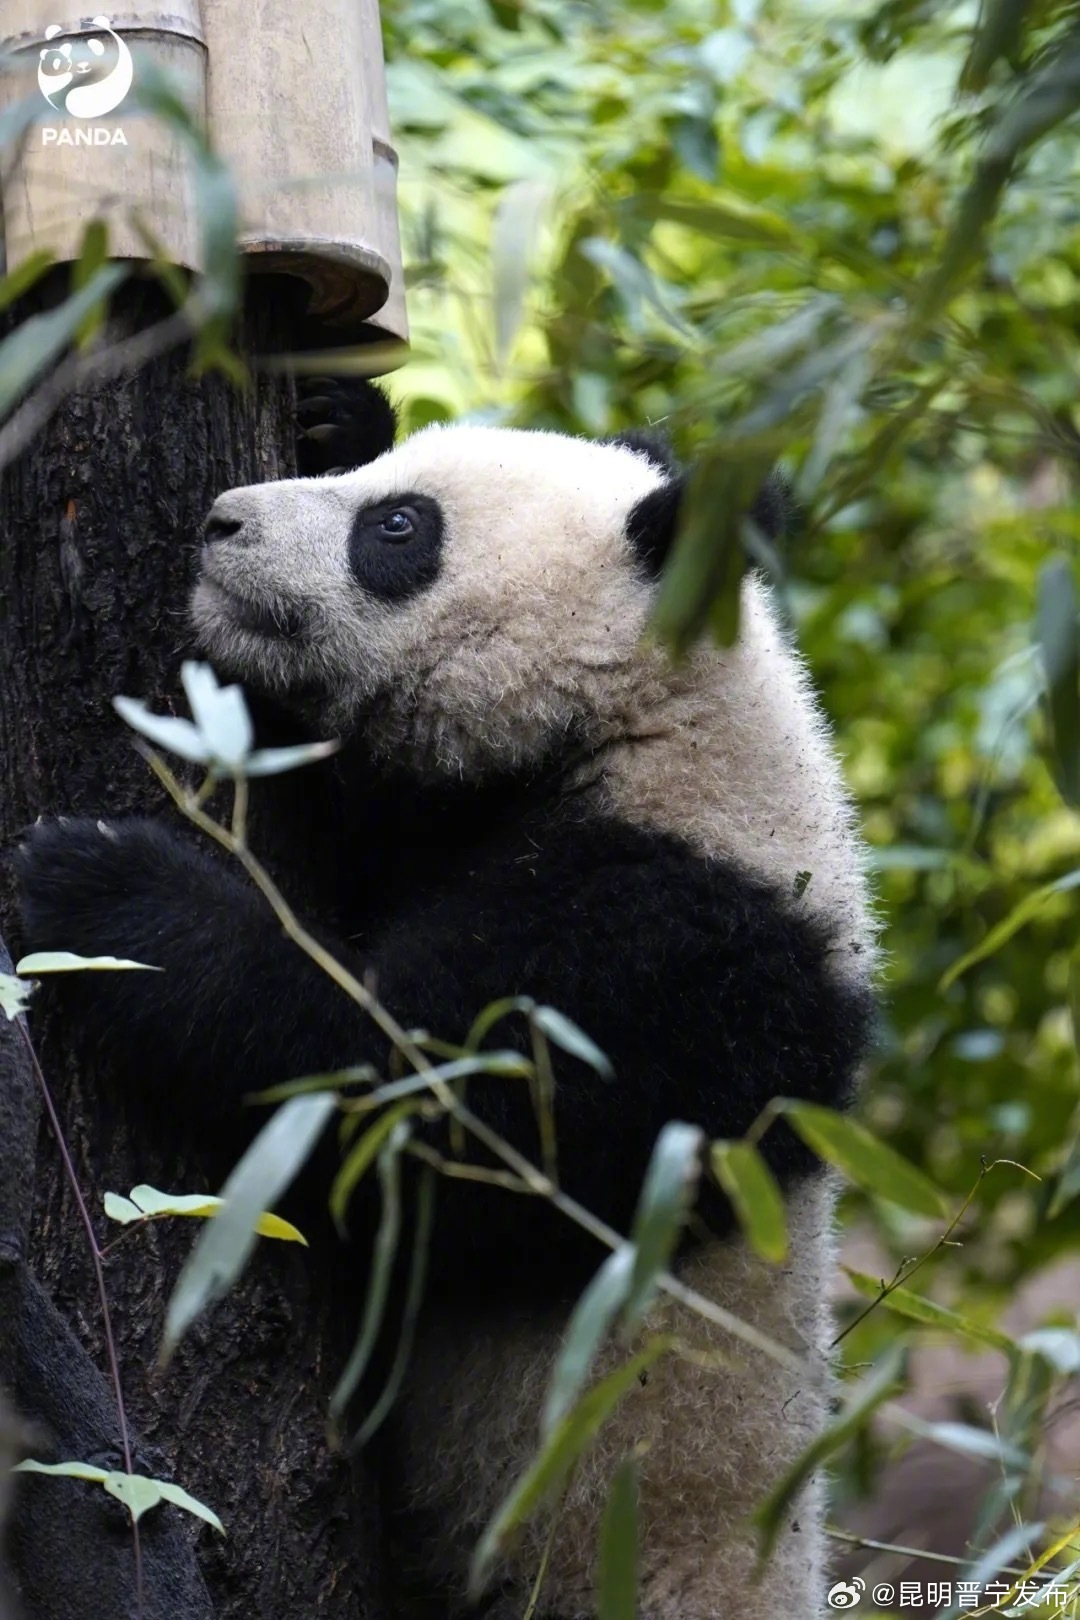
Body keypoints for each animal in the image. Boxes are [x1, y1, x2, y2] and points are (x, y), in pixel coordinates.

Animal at [16, 392, 880, 1620]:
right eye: (379, 483)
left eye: (398, 529)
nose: (222, 524)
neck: (655, 721)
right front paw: (337, 411)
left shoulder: (675, 955)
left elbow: (411, 1098)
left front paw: (109, 894)